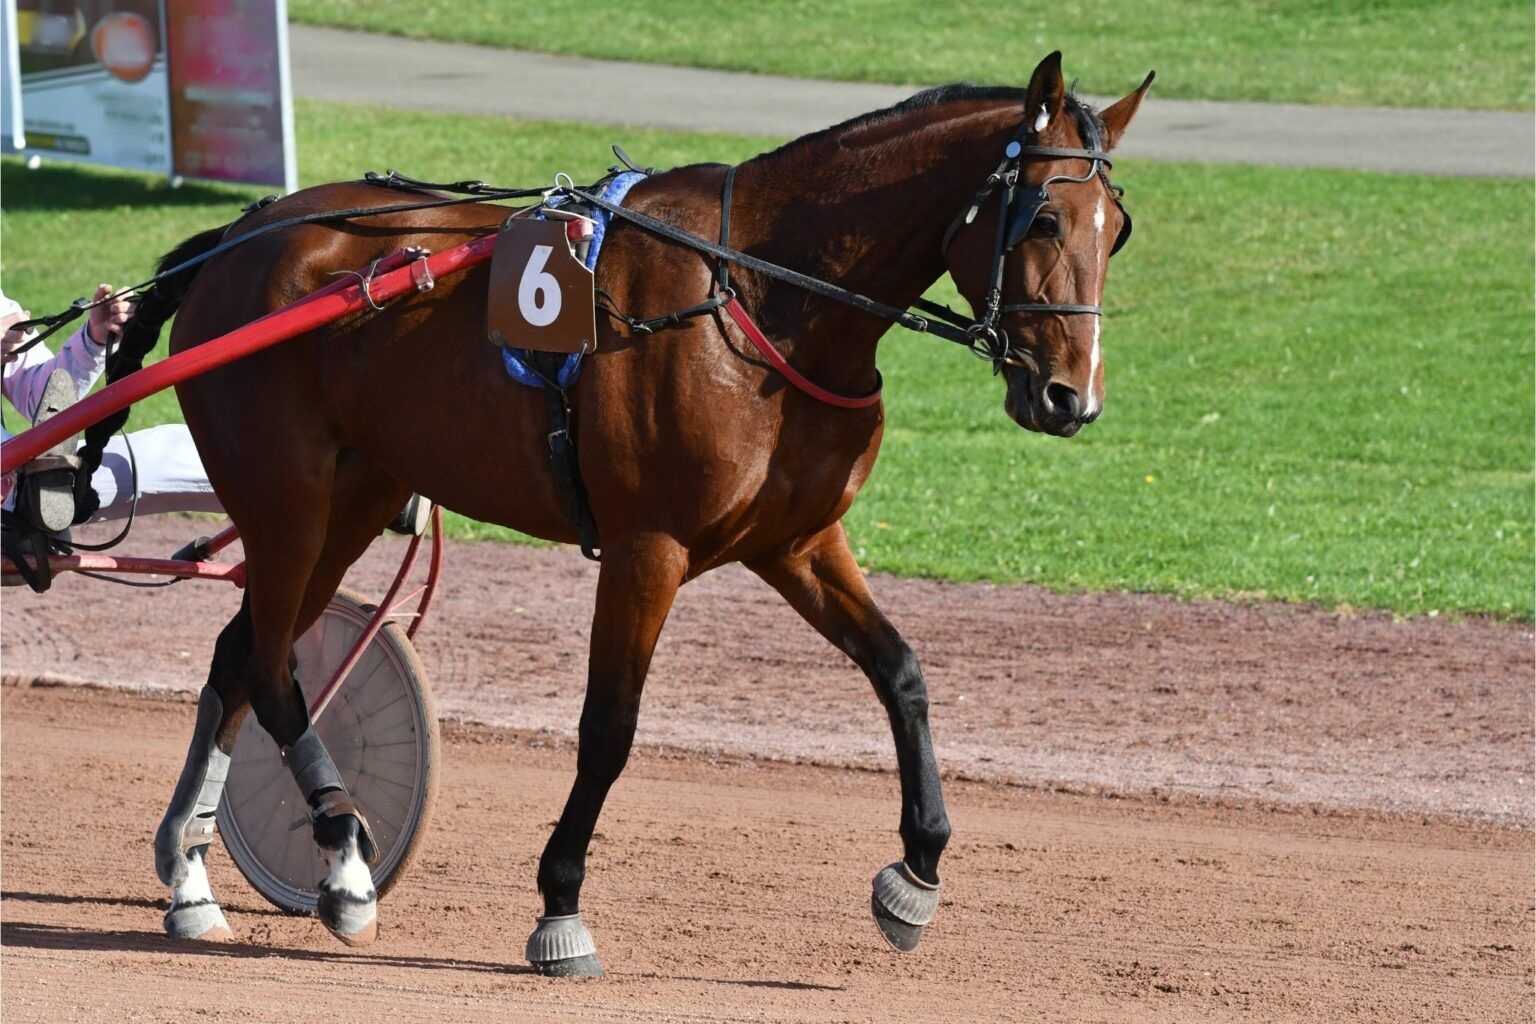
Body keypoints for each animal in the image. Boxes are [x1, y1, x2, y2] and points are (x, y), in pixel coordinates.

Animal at [141, 52, 1149, 974]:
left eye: (1119, 231)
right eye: (1045, 216)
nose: (1072, 399)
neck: (764, 298)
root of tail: (241, 235)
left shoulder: (796, 541)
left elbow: (901, 673)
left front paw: (917, 874)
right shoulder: (646, 549)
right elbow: (608, 731)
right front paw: (560, 909)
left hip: (358, 493)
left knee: (241, 656)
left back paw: (192, 882)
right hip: (287, 498)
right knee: (271, 668)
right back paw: (345, 868)